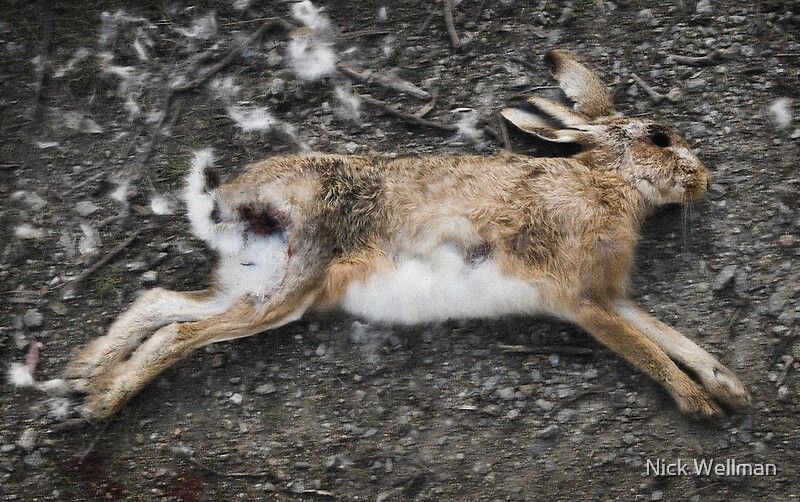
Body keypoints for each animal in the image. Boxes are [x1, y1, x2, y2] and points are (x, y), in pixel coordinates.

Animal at [63, 49, 750, 418]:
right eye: (659, 137)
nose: (704, 179)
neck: (607, 184)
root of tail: (231, 202)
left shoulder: (611, 296)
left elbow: (669, 335)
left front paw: (731, 388)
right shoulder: (583, 301)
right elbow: (647, 348)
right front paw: (698, 404)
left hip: (257, 284)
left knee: (163, 302)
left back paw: (82, 372)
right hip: (292, 284)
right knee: (180, 332)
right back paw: (102, 399)